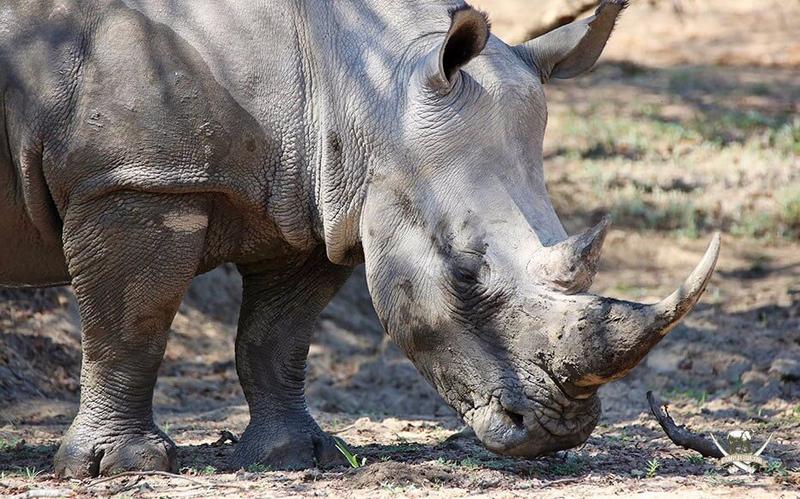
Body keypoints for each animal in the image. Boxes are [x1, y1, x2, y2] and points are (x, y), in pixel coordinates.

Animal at [0, 0, 719, 477]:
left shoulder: (320, 198)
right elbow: (132, 325)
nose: (556, 432)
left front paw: (297, 455)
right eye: (465, 274)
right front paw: (121, 466)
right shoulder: (136, 179)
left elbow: (277, 336)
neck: (367, 84)